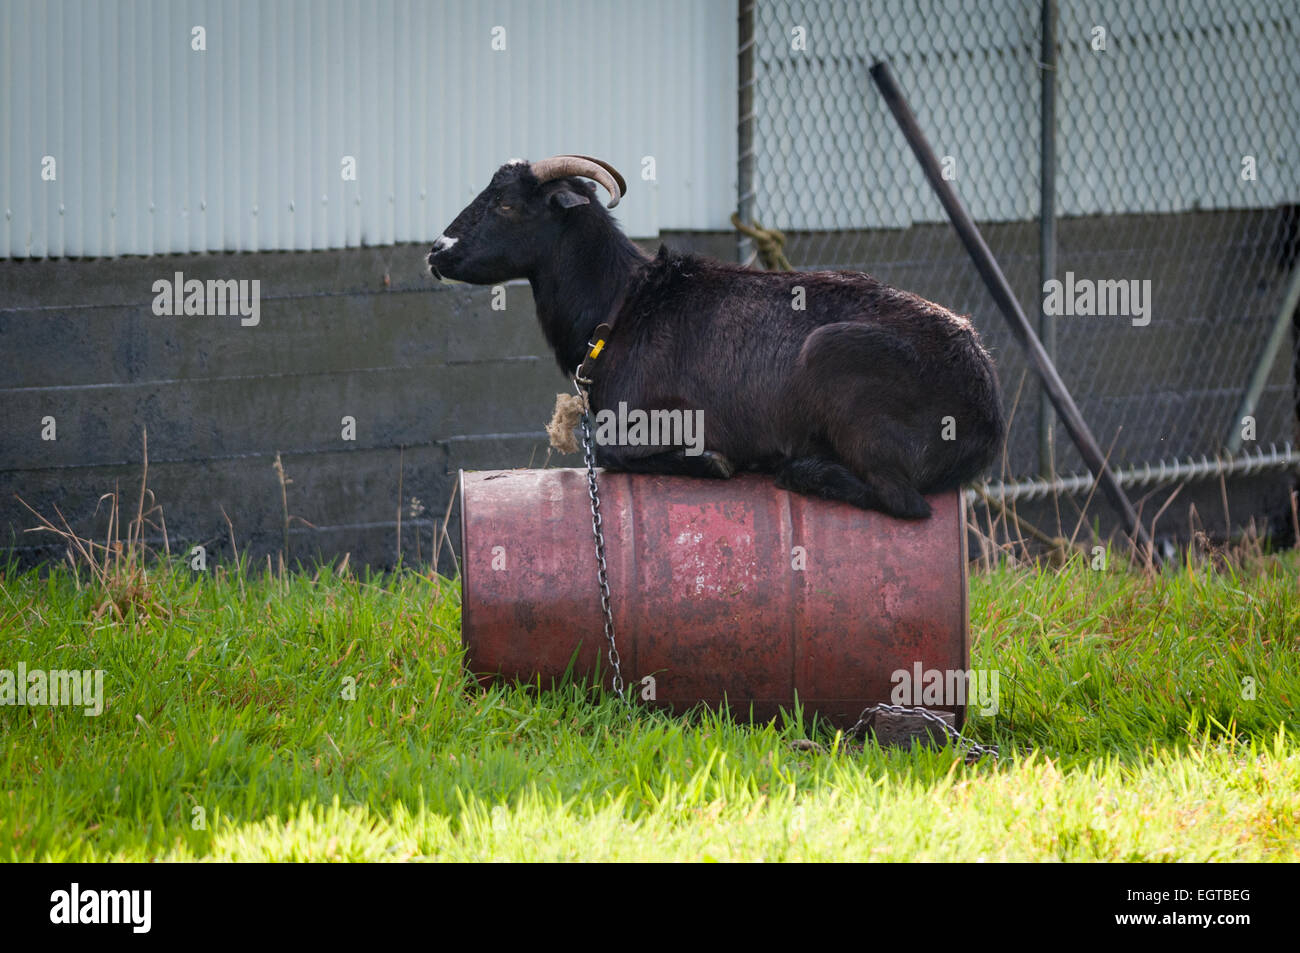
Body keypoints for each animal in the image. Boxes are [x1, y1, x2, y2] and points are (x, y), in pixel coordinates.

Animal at [428, 155, 1004, 519]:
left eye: (507, 205)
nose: (437, 250)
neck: (624, 304)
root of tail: (985, 409)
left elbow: (615, 454)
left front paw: (714, 459)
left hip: (838, 361)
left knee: (904, 502)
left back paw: (797, 468)